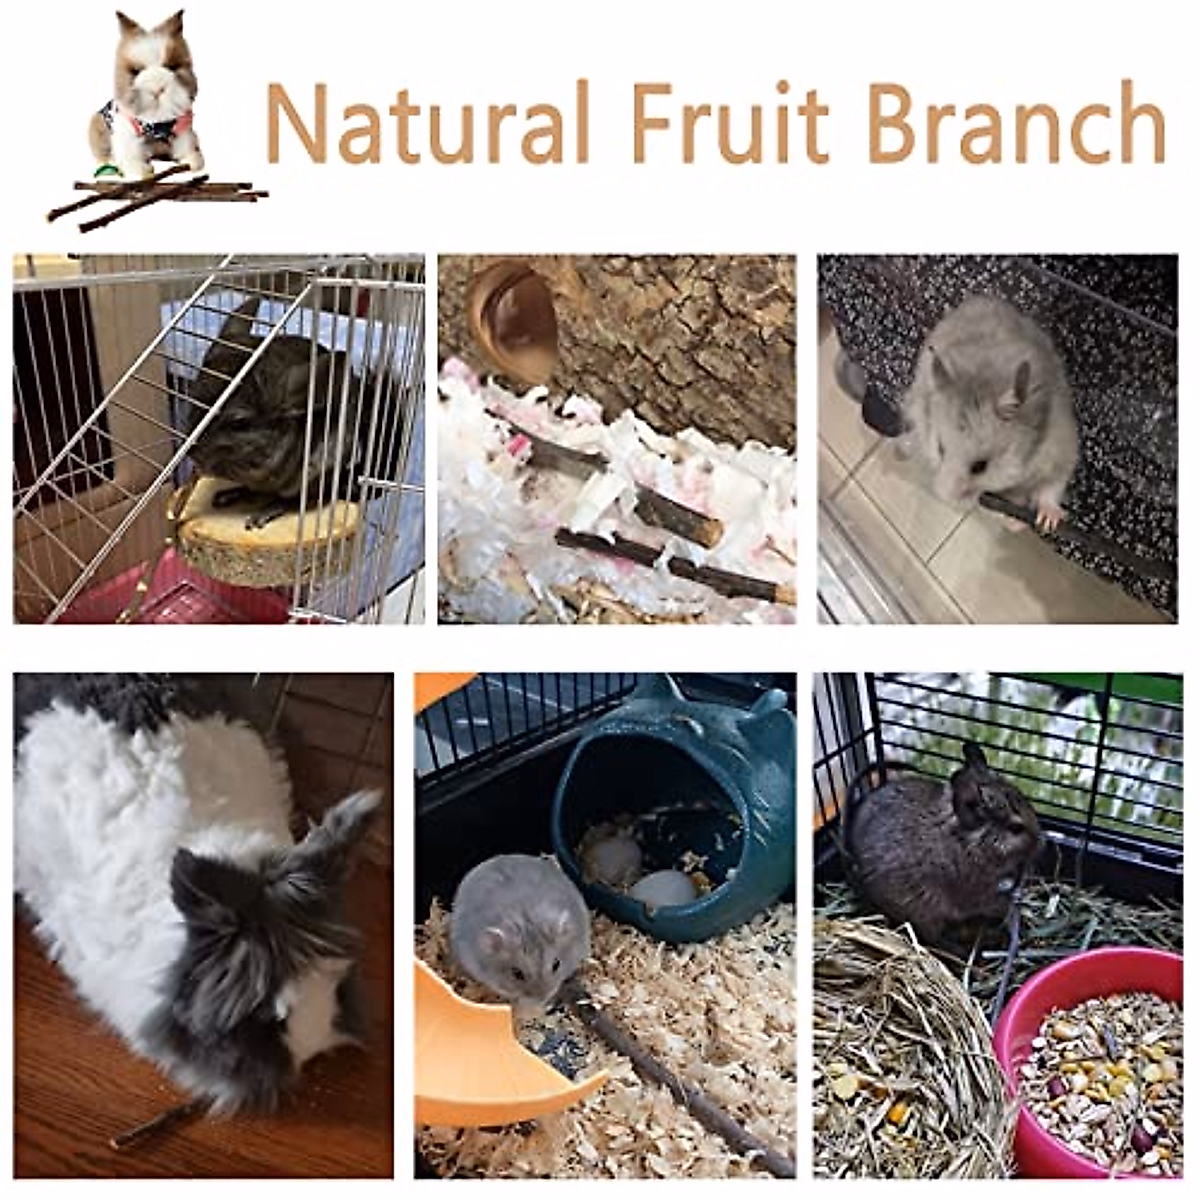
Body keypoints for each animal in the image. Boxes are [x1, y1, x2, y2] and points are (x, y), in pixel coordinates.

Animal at [88, 10, 205, 180]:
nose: (157, 89)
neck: (157, 121)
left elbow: (185, 144)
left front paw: (193, 162)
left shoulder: (183, 127)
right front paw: (140, 171)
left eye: (171, 67)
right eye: (136, 71)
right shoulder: (126, 130)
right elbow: (129, 151)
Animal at [185, 297, 372, 530]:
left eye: (239, 423)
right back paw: (227, 495)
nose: (190, 453)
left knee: (294, 500)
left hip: (315, 476)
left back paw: (261, 514)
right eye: (191, 394)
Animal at [841, 741, 1041, 949]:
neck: (969, 843)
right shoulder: (977, 894)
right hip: (924, 911)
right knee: (933, 938)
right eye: (1016, 828)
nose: (1040, 845)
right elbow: (998, 903)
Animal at [900, 295, 1079, 532]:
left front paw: (1047, 522)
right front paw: (1015, 522)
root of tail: (980, 299)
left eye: (980, 467)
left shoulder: (1061, 454)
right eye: (940, 449)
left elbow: (1051, 488)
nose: (944, 499)